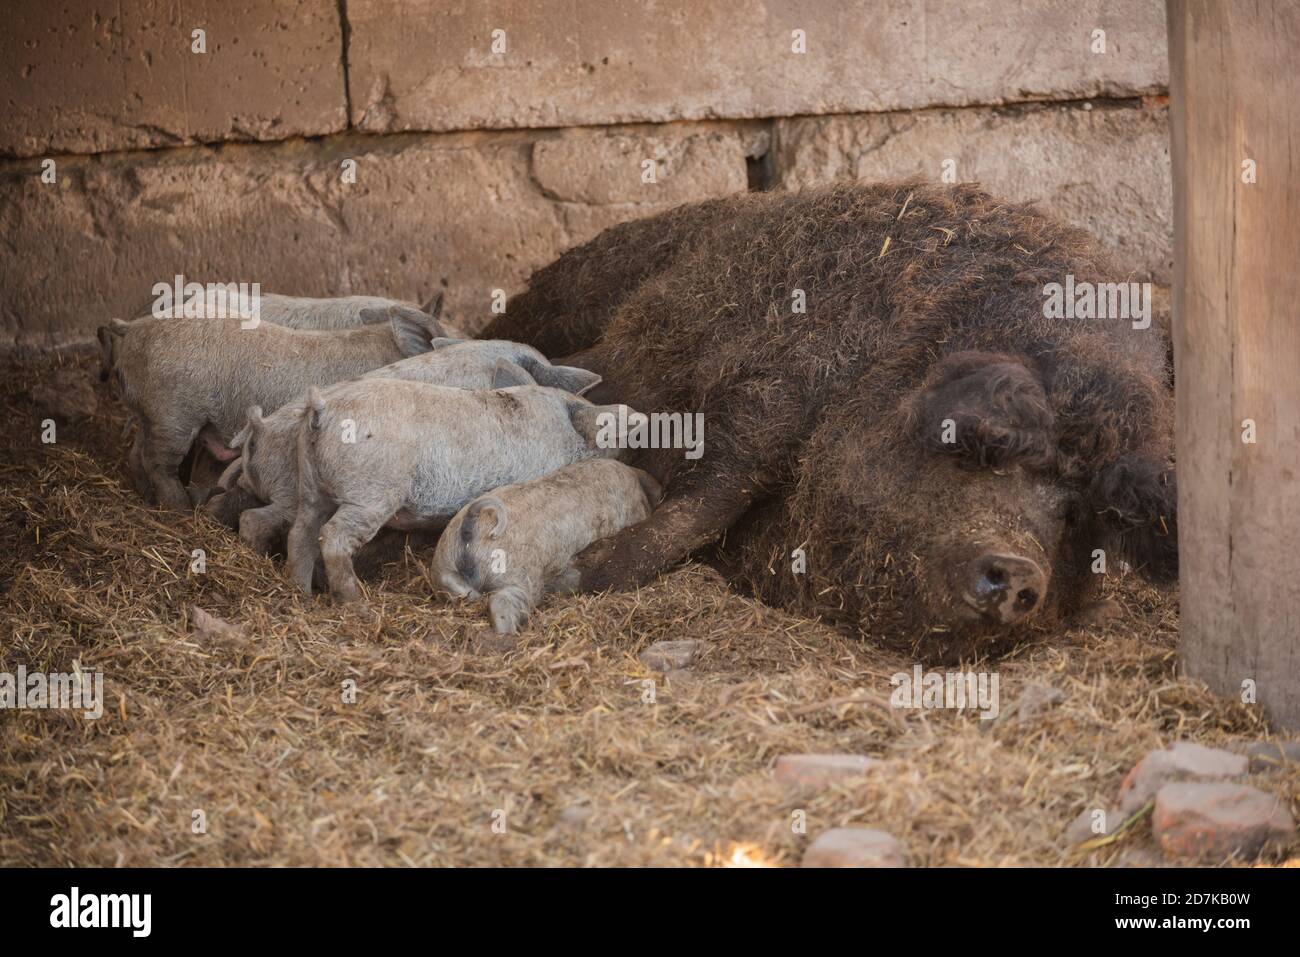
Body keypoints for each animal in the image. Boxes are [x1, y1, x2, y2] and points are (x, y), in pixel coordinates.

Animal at [97, 306, 446, 510]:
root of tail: (132, 327)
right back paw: (178, 510)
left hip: (149, 413)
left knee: (137, 455)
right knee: (158, 463)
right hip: (174, 413)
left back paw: (148, 499)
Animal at [286, 379, 632, 603]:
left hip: (309, 482)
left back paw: (302, 595)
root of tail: (324, 408)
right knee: (332, 537)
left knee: (300, 533)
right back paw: (357, 605)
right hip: (370, 491)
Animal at [482, 182, 1178, 660]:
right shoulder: (780, 380)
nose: (1022, 571)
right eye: (988, 450)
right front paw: (578, 575)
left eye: (1078, 513)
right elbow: (712, 493)